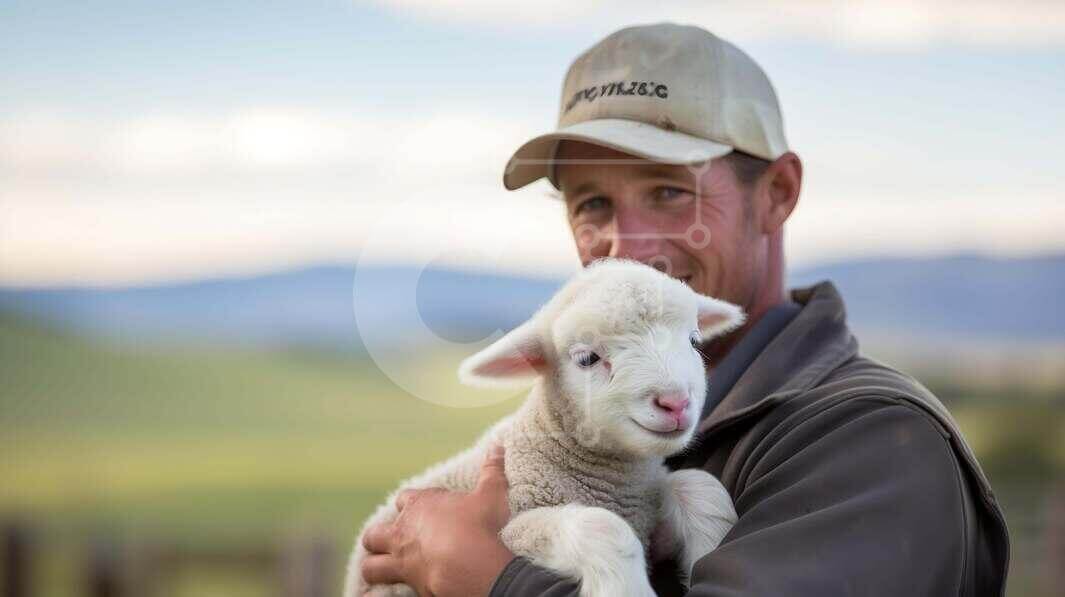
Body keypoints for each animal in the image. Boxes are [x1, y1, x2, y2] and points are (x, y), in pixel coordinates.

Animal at [344, 258, 744, 597]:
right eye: (586, 358)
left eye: (693, 341)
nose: (675, 402)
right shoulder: (510, 529)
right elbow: (600, 526)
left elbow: (698, 486)